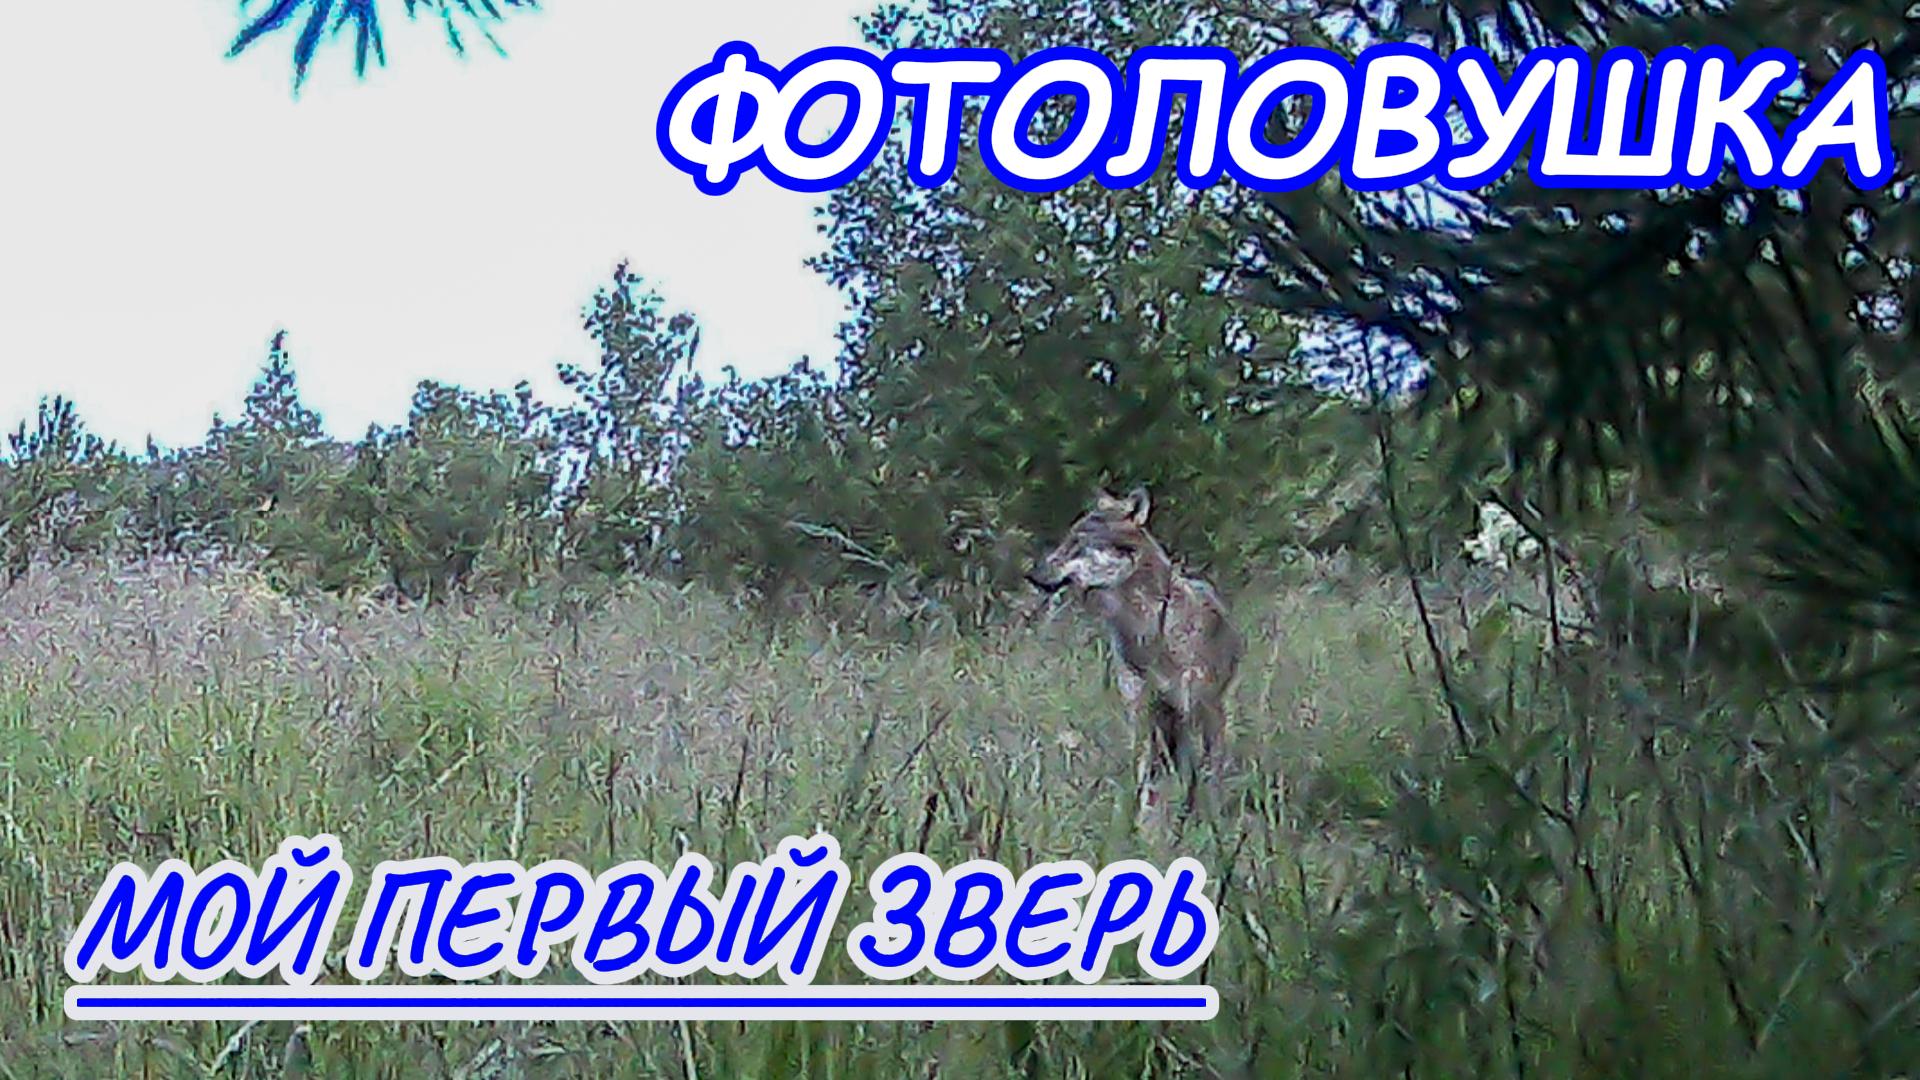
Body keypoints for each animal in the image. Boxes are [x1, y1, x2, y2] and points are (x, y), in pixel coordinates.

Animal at [1027, 487, 1243, 825]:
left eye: (1079, 541)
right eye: (1067, 539)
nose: (1031, 575)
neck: (1150, 634)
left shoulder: (1205, 710)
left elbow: (1209, 778)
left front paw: (1212, 823)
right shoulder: (1141, 712)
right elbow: (1145, 780)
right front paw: (1143, 826)